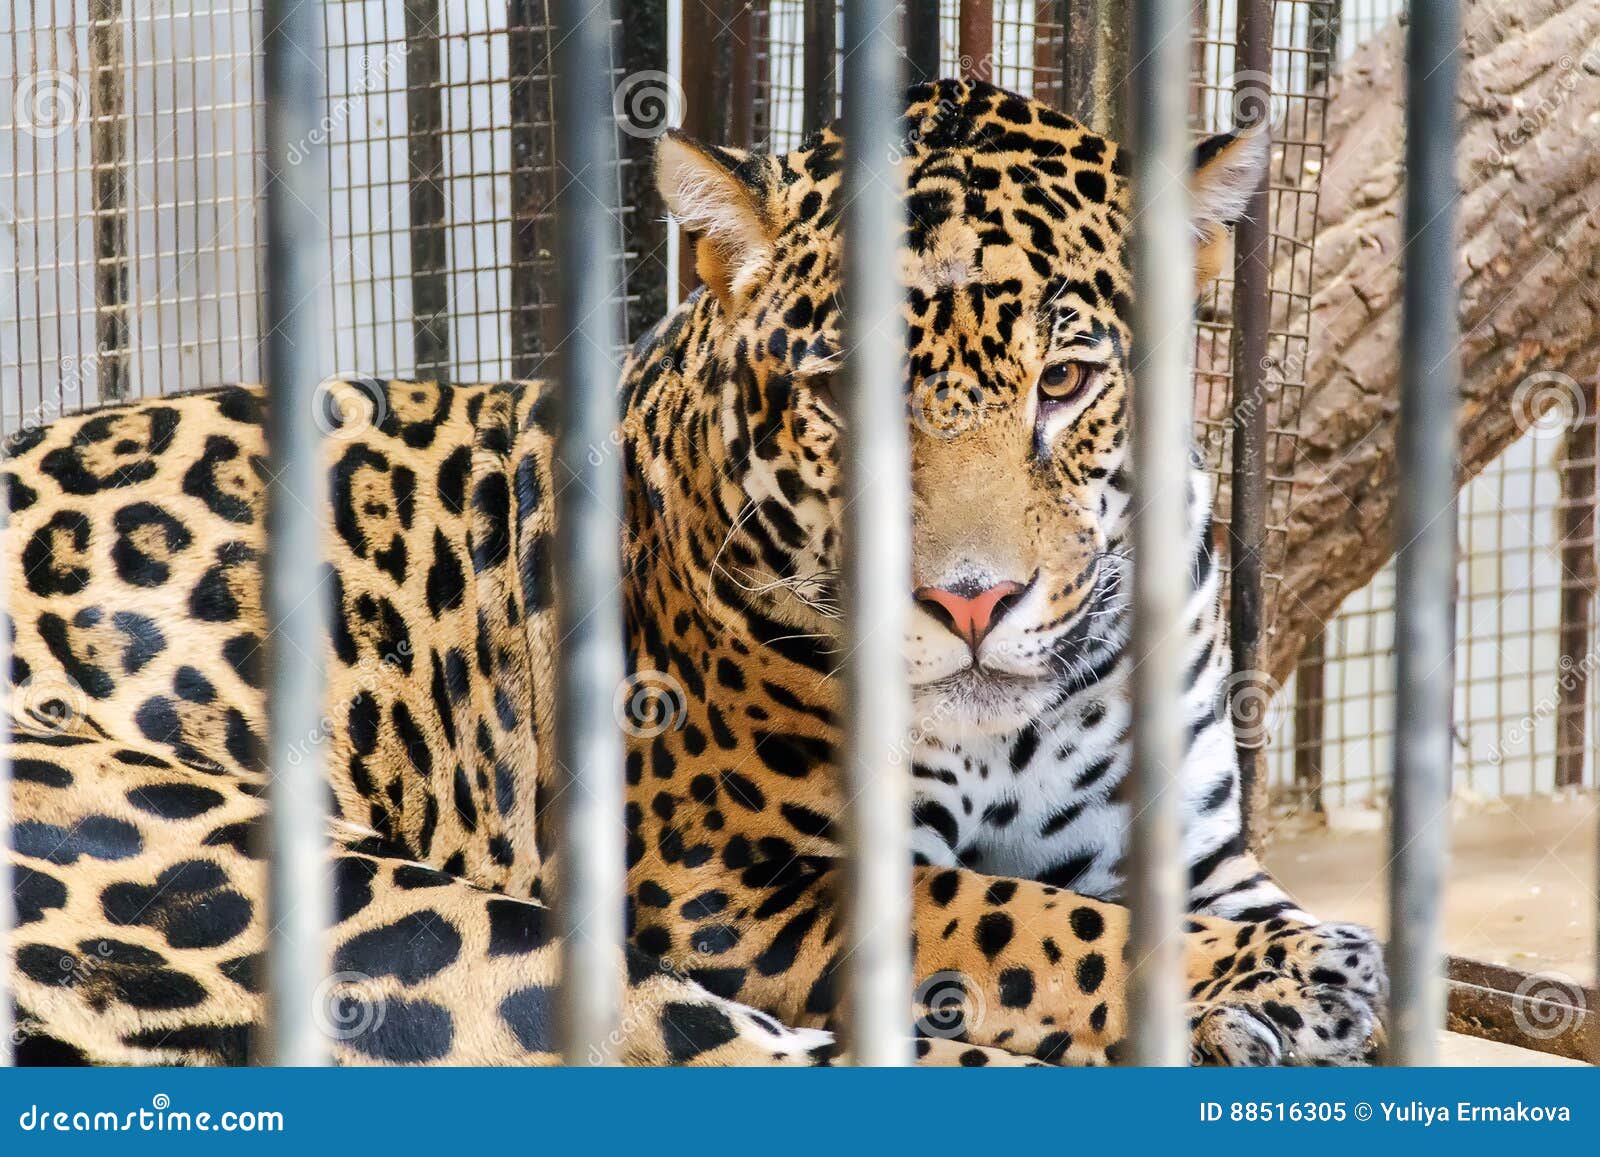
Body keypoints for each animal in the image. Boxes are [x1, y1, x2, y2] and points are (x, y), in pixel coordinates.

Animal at [4, 79, 1382, 1067]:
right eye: (841, 396)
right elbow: (1014, 912)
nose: (970, 602)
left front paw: (1290, 969)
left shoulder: (1204, 853)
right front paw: (1291, 980)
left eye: (1067, 381)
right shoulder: (721, 889)